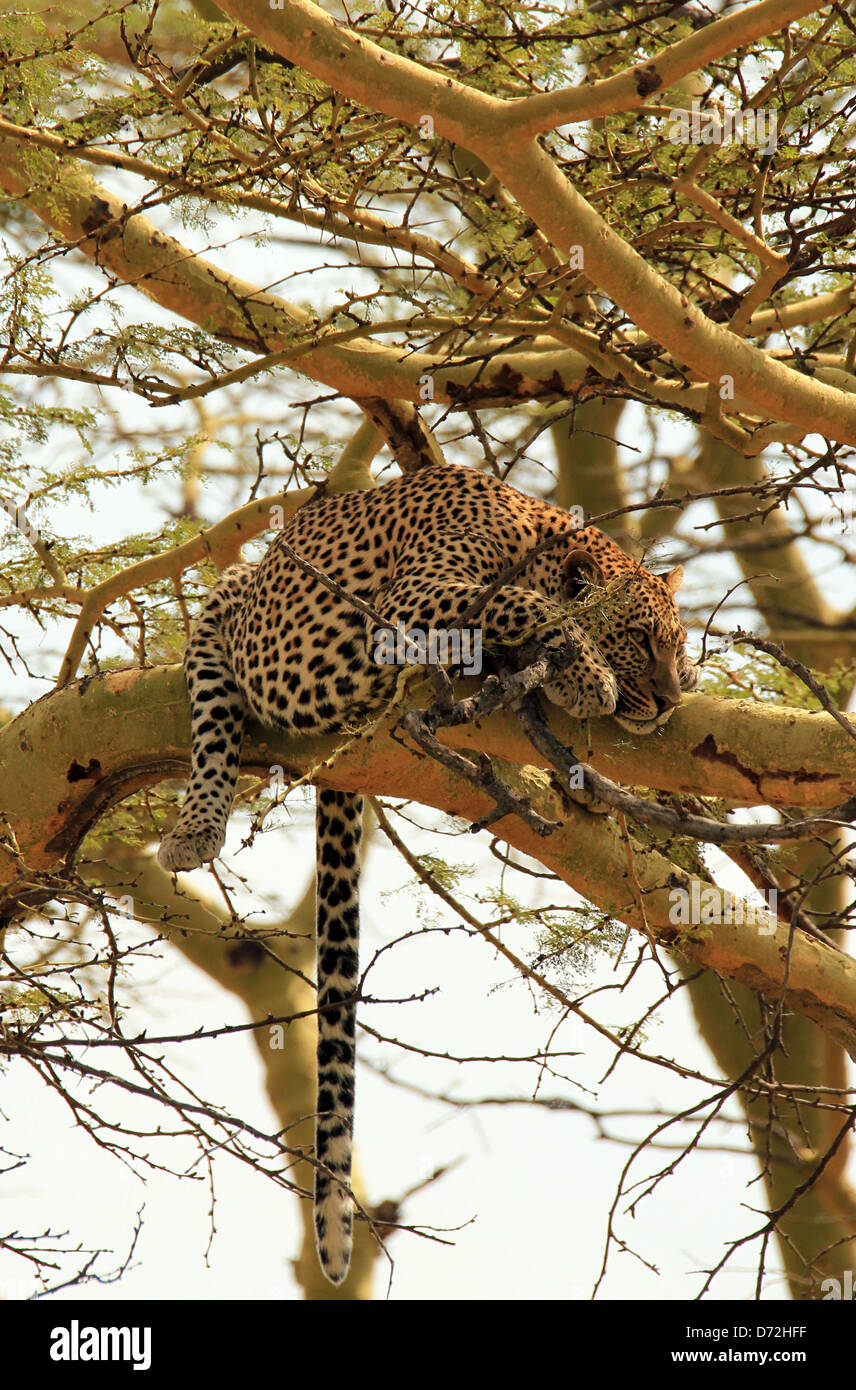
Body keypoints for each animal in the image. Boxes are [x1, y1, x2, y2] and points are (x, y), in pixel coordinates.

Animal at [157, 462, 699, 1285]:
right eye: (640, 640)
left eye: (677, 642)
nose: (673, 697)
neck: (531, 535)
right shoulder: (415, 598)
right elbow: (529, 605)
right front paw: (588, 675)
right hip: (227, 602)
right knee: (211, 723)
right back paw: (194, 828)